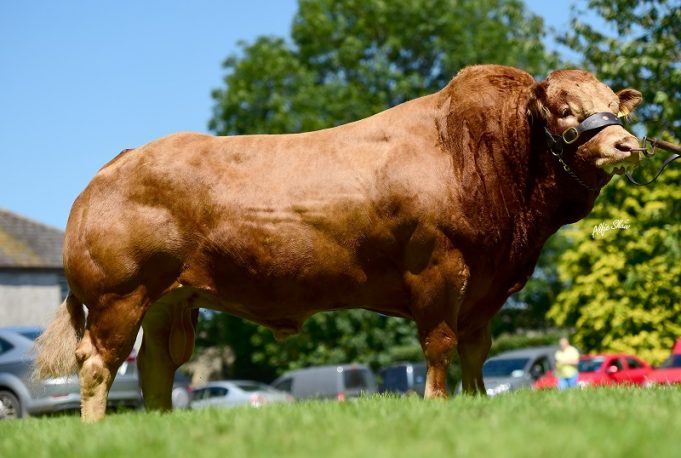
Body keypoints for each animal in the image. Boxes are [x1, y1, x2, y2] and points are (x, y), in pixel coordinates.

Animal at [34, 64, 642, 421]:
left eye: (617, 105)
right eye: (563, 109)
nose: (626, 144)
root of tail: (117, 164)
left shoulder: (487, 287)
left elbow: (476, 351)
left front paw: (474, 401)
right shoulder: (438, 271)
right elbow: (440, 345)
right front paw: (438, 403)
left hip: (167, 302)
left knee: (156, 368)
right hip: (118, 297)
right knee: (98, 364)